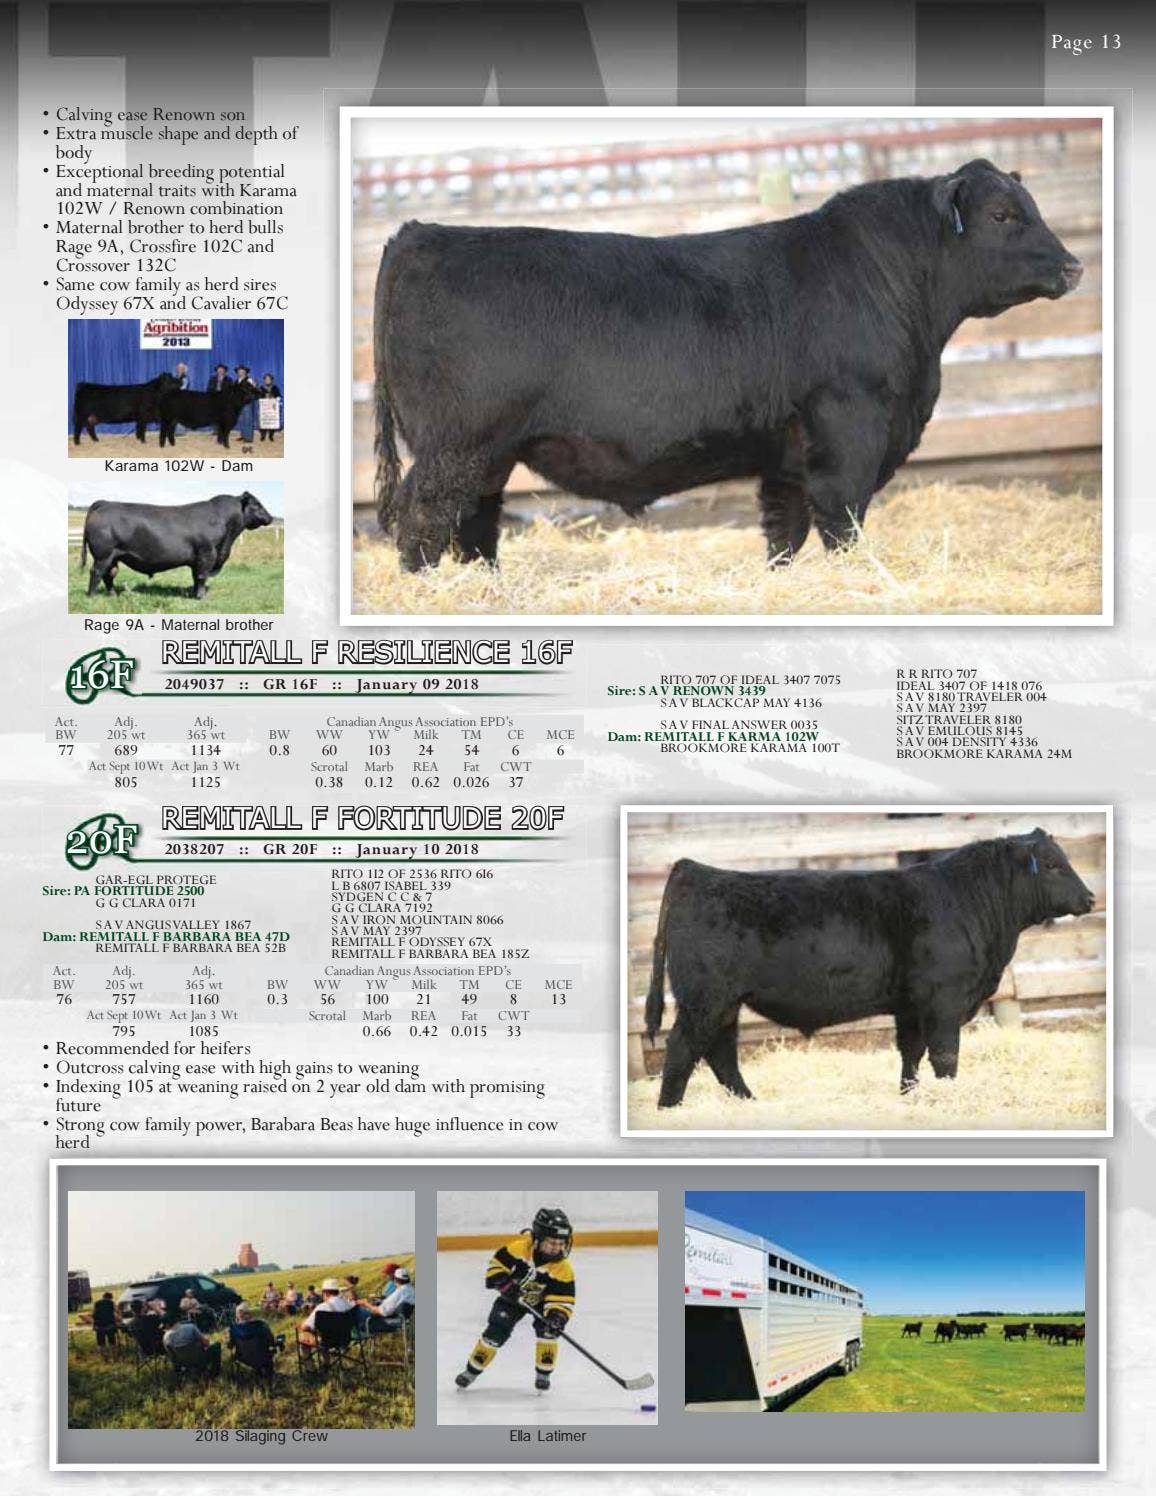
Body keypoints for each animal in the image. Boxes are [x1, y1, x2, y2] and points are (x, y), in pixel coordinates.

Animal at [80, 492, 274, 600]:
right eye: (257, 504)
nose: (271, 517)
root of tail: (105, 503)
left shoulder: (198, 559)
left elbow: (196, 577)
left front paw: (194, 594)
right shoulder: (207, 554)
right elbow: (202, 576)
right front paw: (201, 597)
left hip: (114, 556)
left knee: (109, 575)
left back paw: (112, 596)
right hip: (103, 555)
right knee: (96, 573)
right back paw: (92, 597)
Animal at [372, 159, 1082, 572]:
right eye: (1002, 215)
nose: (1074, 266)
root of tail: (422, 232)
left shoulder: (789, 454)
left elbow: (785, 530)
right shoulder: (849, 431)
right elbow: (842, 519)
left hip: (486, 452)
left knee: (473, 522)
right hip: (457, 444)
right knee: (423, 517)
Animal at [643, 828, 1094, 1108]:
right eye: (1052, 865)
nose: (1090, 898)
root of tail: (695, 869)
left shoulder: (912, 1007)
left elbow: (911, 1054)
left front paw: (909, 1097)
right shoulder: (944, 1002)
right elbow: (945, 1057)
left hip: (726, 1004)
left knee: (720, 1054)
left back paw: (750, 1104)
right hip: (704, 1000)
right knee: (682, 1049)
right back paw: (670, 1111)